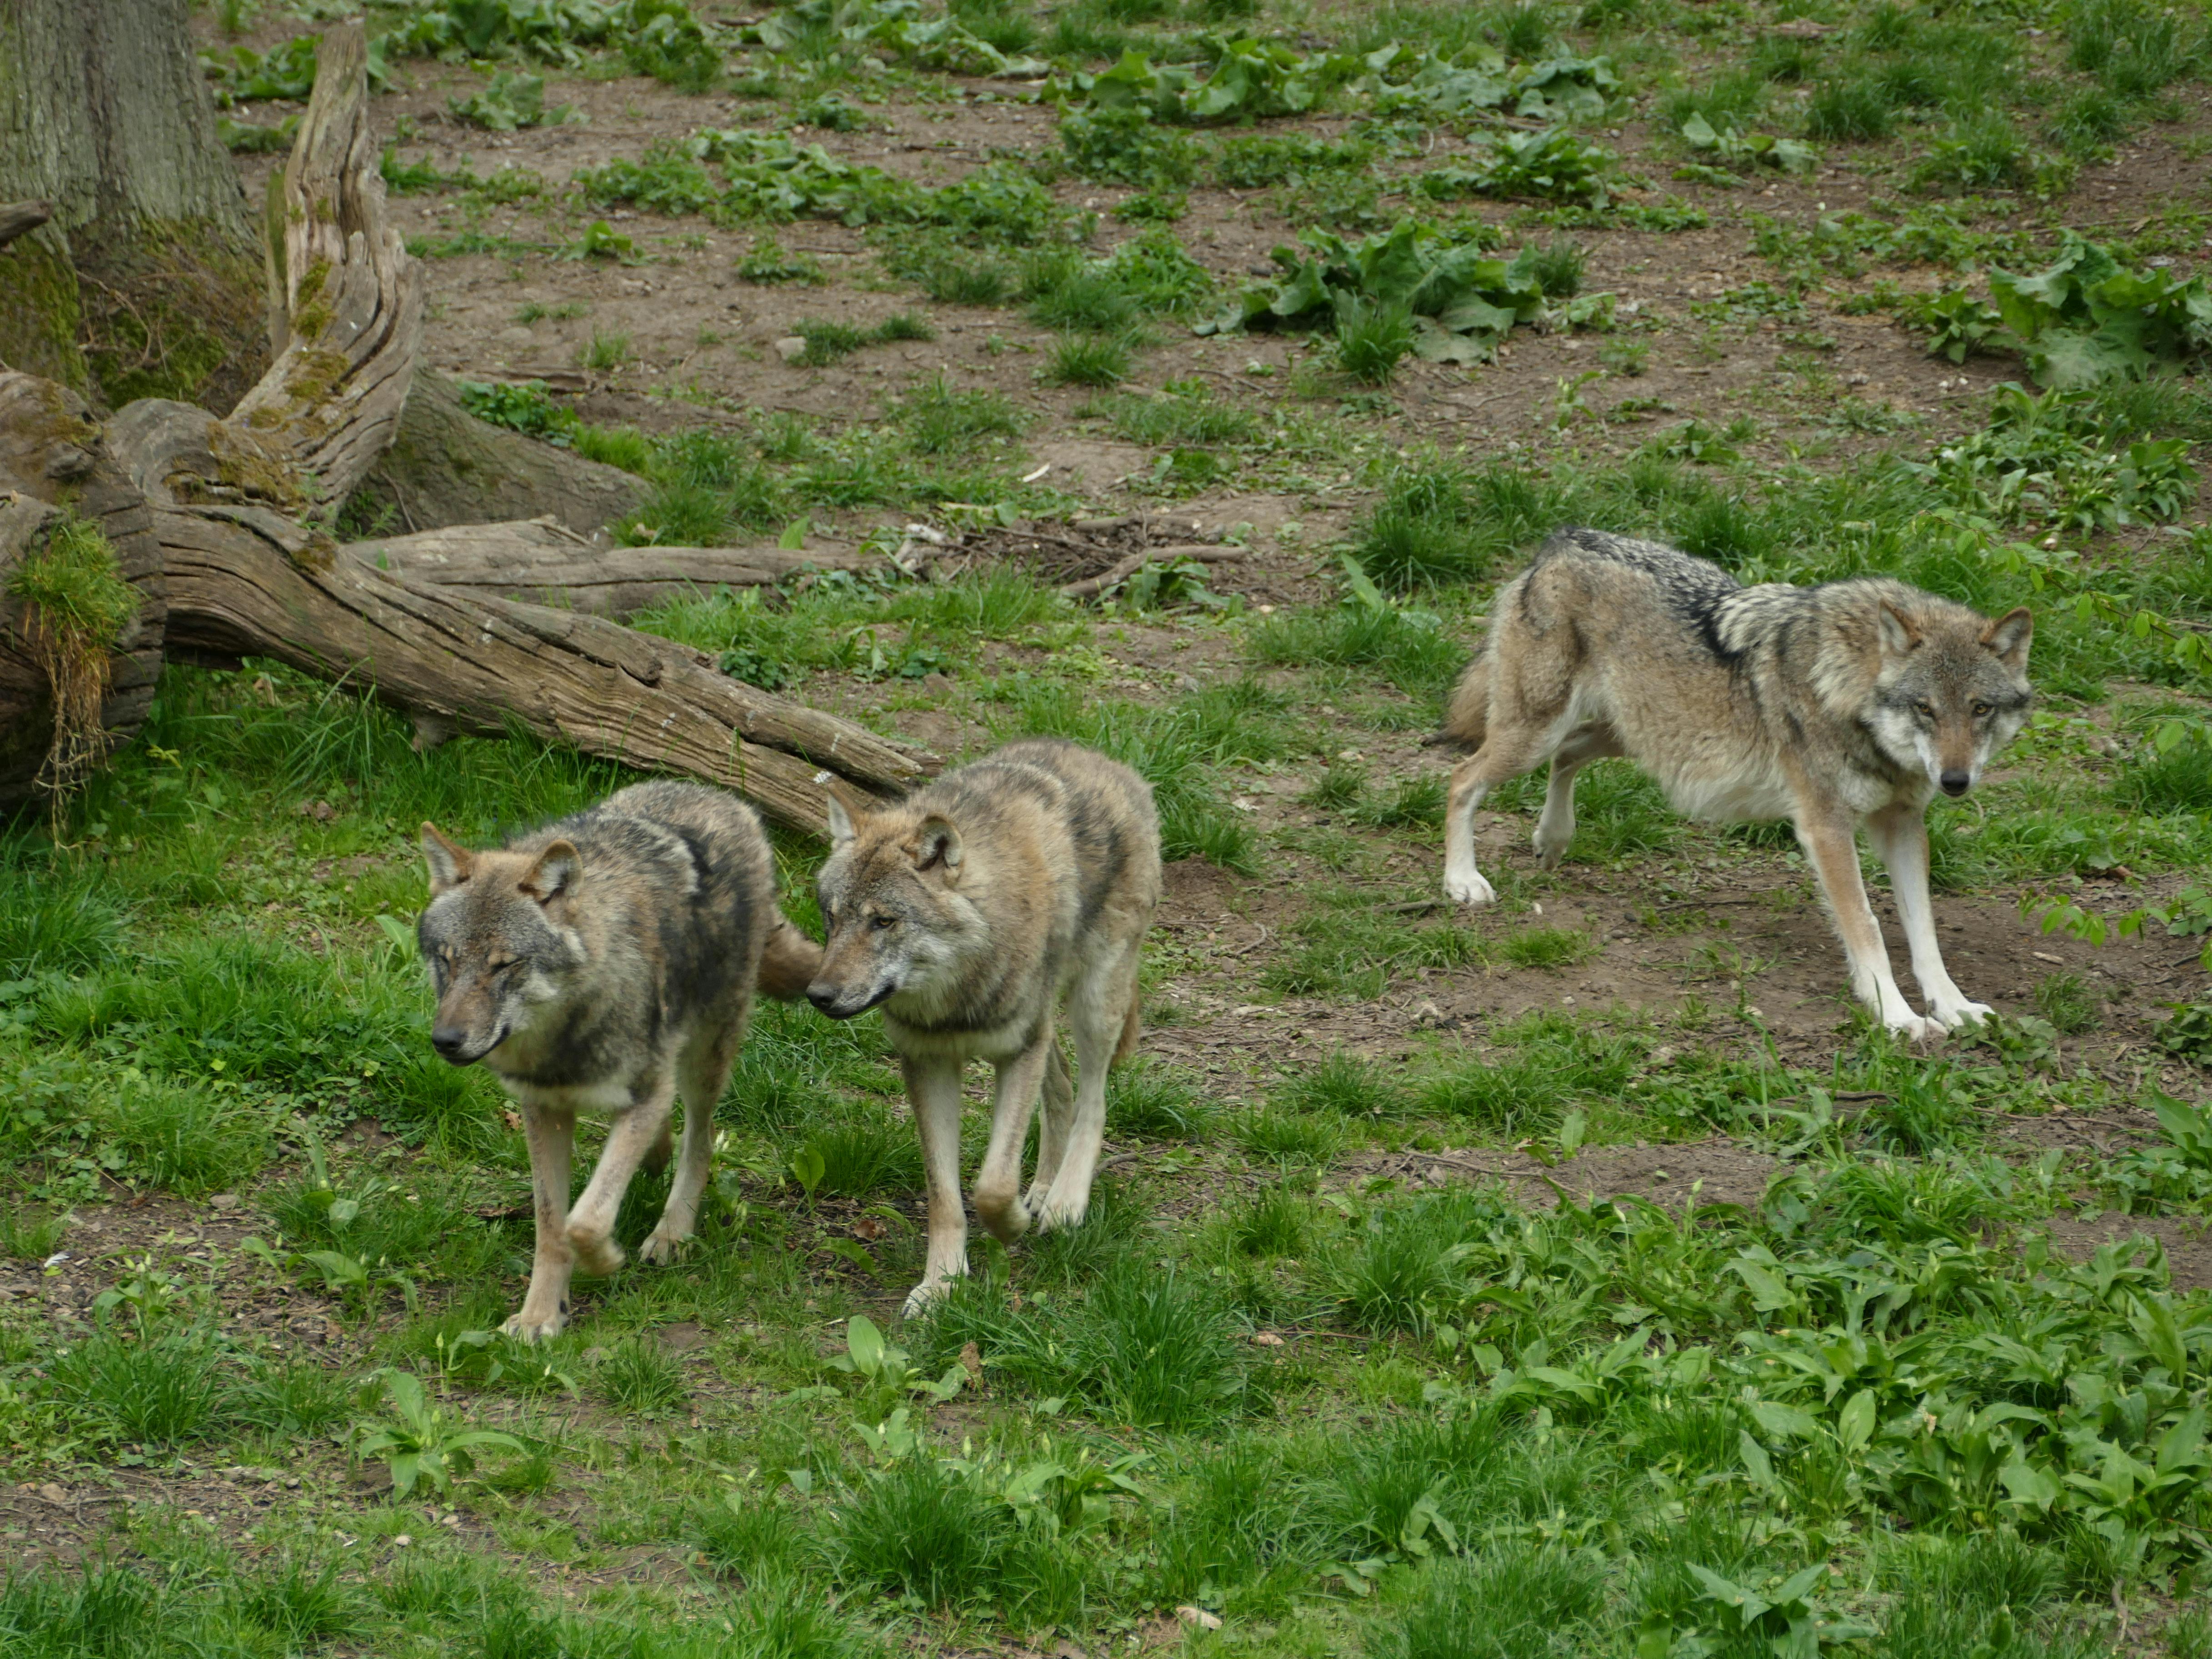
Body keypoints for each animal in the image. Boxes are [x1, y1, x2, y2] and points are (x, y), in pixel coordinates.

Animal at [418, 781, 819, 1341]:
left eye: (504, 965)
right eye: (447, 960)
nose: (445, 1040)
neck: (564, 1037)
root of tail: (723, 798)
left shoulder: (645, 1091)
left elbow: (584, 1221)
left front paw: (606, 1261)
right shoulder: (543, 1110)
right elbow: (551, 1225)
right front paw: (541, 1316)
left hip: (706, 1055)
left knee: (699, 1140)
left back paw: (673, 1232)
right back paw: (653, 1160)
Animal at [805, 739, 1161, 1315]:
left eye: (884, 921)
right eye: (832, 919)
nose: (818, 995)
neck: (954, 999)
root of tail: (1108, 761)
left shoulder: (1017, 1052)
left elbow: (992, 1184)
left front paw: (1012, 1223)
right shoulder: (929, 1062)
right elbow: (945, 1195)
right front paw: (940, 1287)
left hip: (1093, 1003)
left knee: (1094, 1100)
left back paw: (1064, 1201)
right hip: (1045, 1024)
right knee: (1062, 1087)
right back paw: (1043, 1188)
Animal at [1438, 528, 2033, 1042]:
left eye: (1979, 709)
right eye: (1925, 709)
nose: (1955, 781)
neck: (1847, 689)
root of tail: (1561, 542)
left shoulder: (1902, 822)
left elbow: (1924, 931)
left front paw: (1953, 1006)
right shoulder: (1825, 828)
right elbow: (1867, 927)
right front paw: (1897, 1016)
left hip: (1631, 735)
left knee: (1566, 757)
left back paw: (1552, 839)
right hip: (1536, 736)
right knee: (1461, 778)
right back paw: (1463, 881)